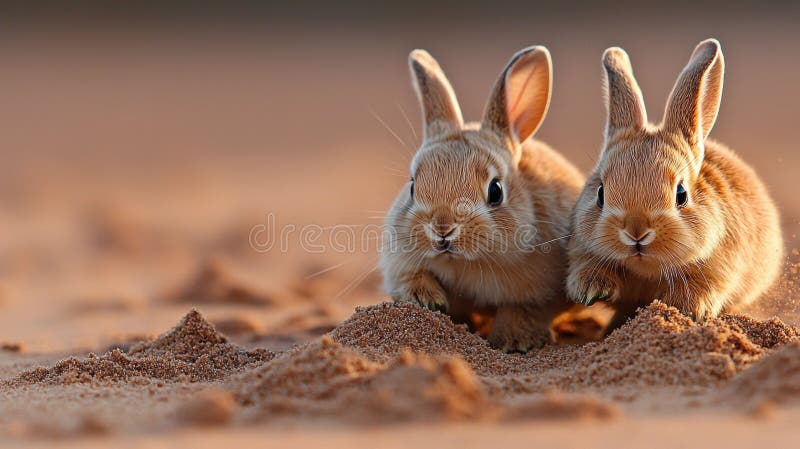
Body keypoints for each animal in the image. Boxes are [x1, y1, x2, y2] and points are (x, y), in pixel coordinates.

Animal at [379, 46, 585, 352]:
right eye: (413, 186)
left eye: (495, 191)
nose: (442, 230)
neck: (468, 262)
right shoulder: (399, 262)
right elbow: (410, 278)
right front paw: (428, 300)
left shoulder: (541, 293)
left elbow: (524, 309)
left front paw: (514, 341)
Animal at [567, 39, 783, 333]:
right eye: (600, 193)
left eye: (681, 195)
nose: (636, 232)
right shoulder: (583, 248)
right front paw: (590, 291)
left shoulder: (720, 268)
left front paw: (685, 309)